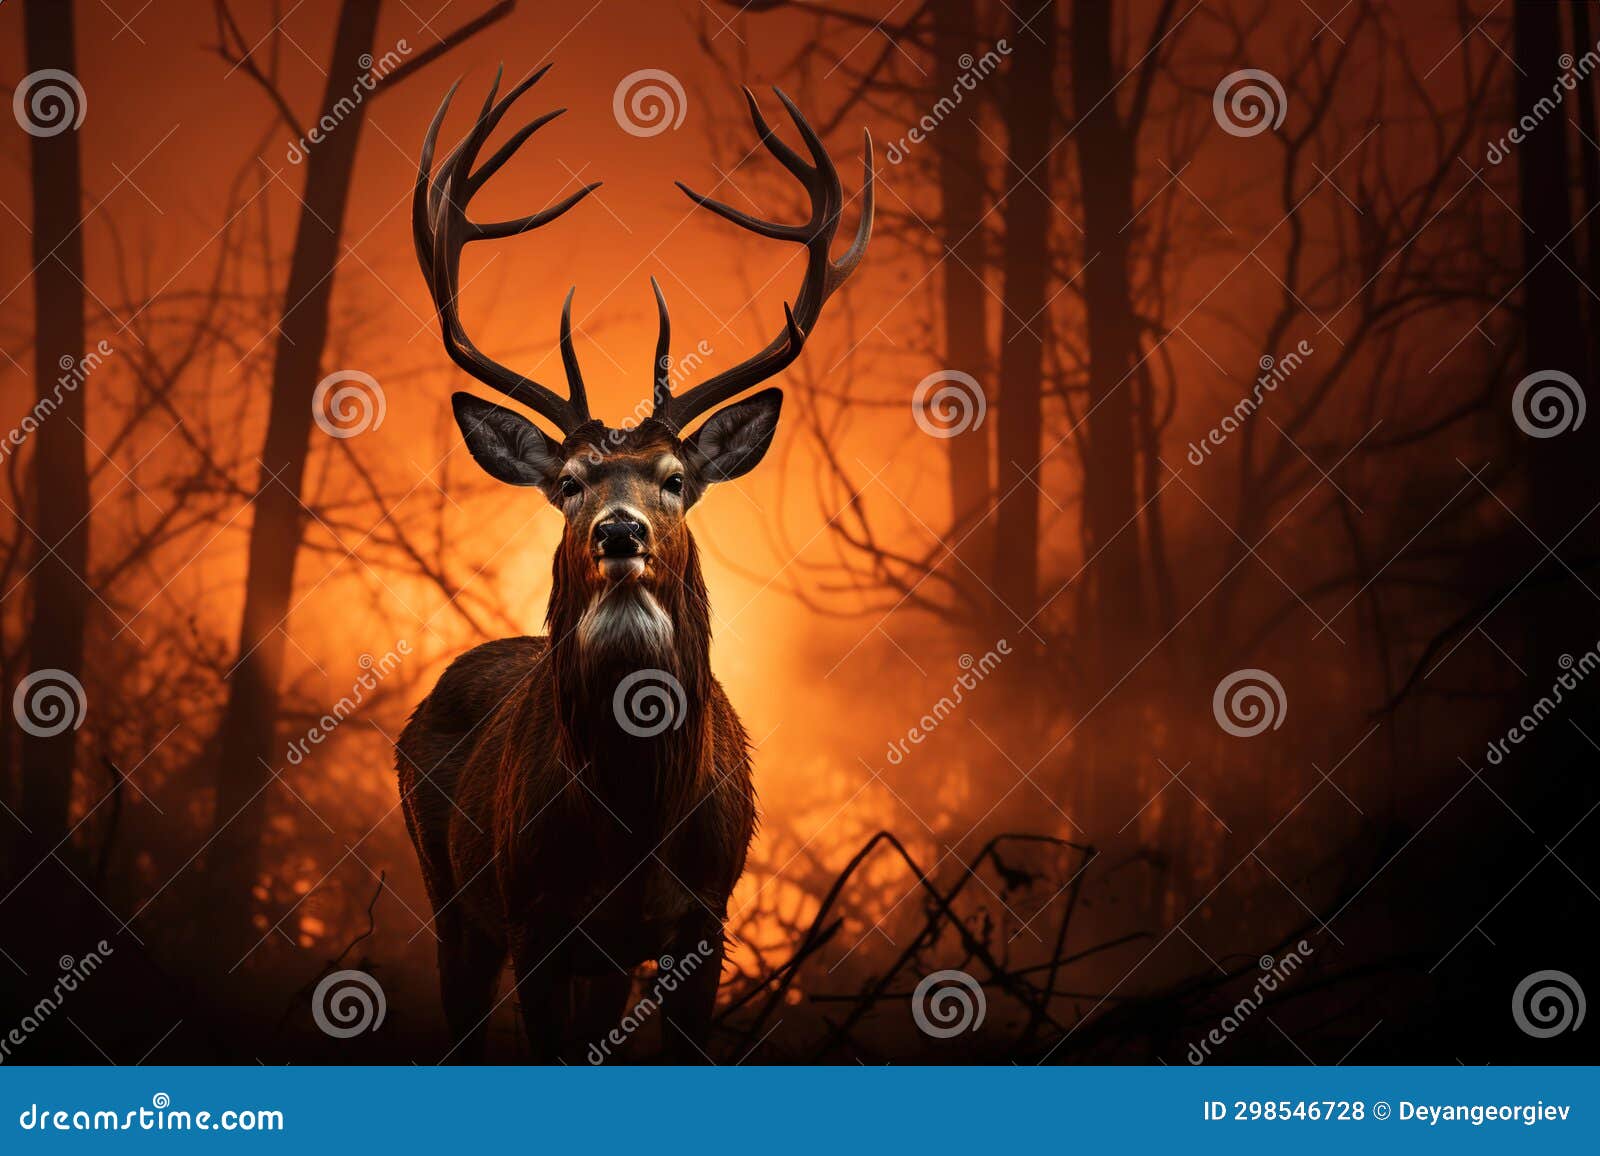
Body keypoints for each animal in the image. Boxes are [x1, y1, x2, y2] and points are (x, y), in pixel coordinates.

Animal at [396, 65, 872, 1063]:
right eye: (568, 482)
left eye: (677, 479)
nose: (621, 533)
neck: (633, 823)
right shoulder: (534, 920)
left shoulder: (706, 919)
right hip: (452, 900)